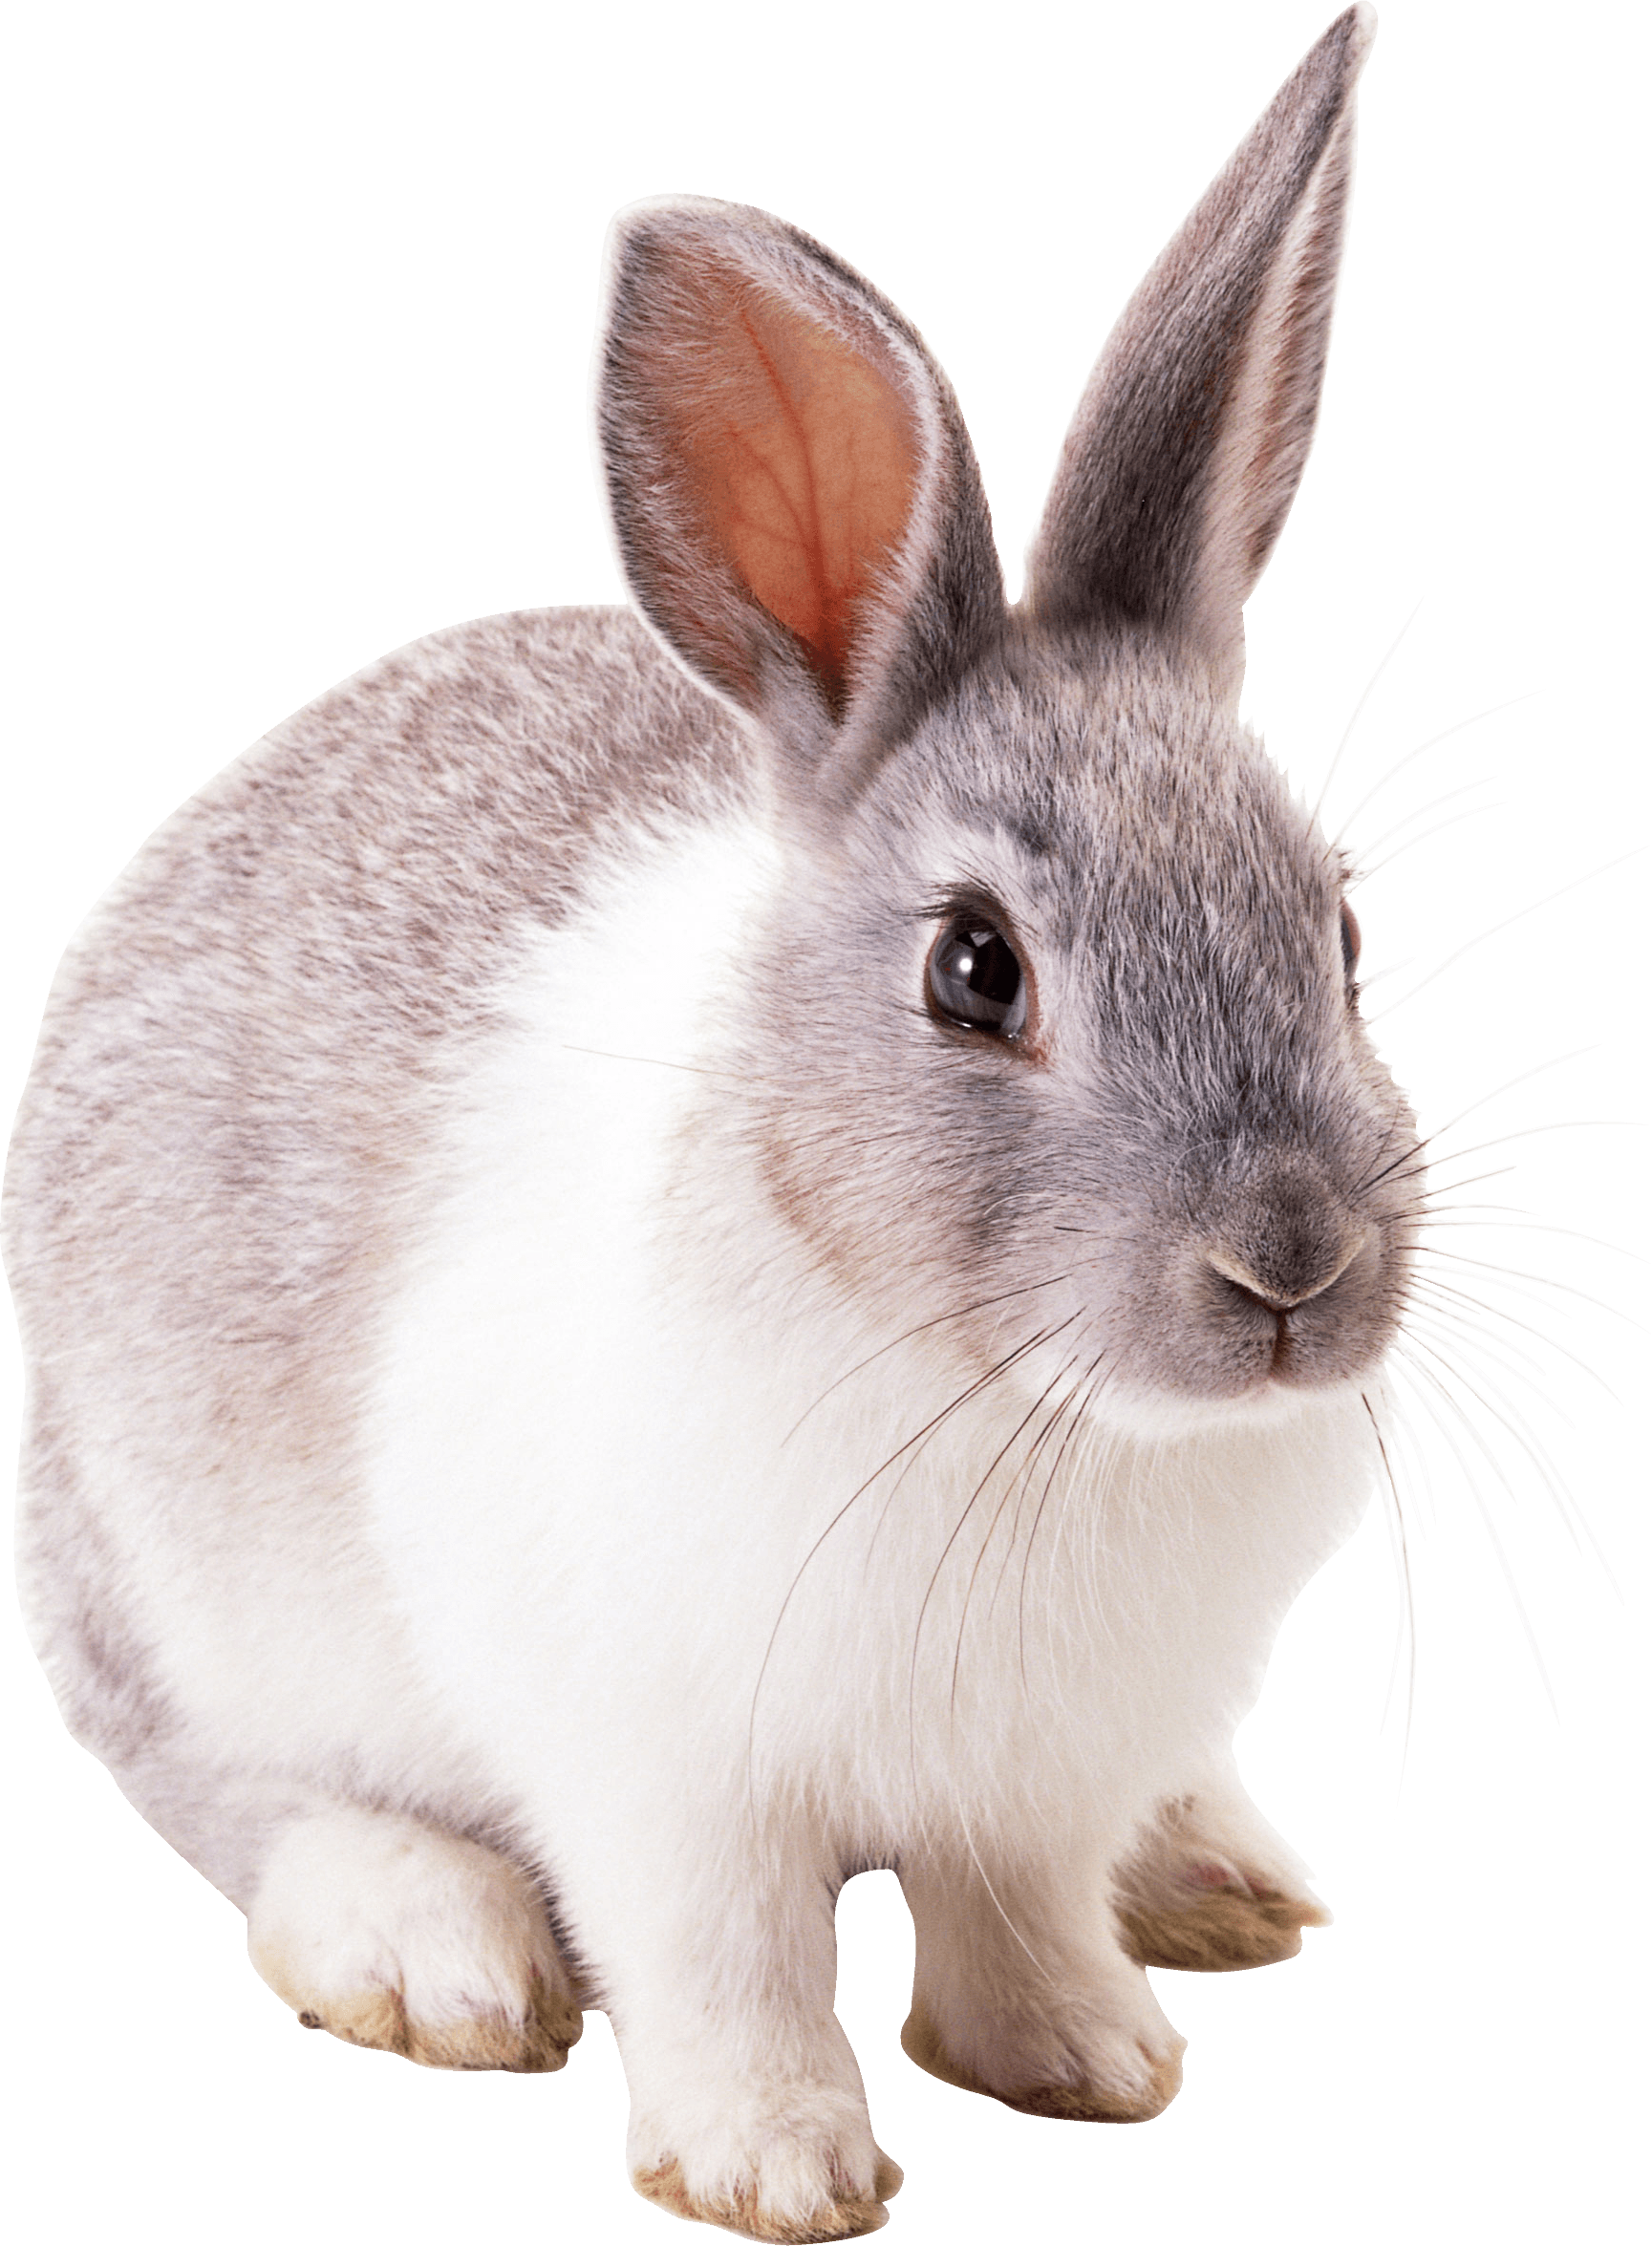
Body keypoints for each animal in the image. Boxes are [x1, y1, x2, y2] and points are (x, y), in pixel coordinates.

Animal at [5, 5, 1441, 2237]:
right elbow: (725, 1957)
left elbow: (1019, 1913)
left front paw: (1085, 2064)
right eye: (972, 969)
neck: (1013, 1408)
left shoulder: (1029, 1777)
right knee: (232, 1792)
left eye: (1342, 921)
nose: (1293, 1266)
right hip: (161, 1598)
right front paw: (774, 2172)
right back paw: (426, 1948)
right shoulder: (655, 1771)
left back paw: (1214, 1879)